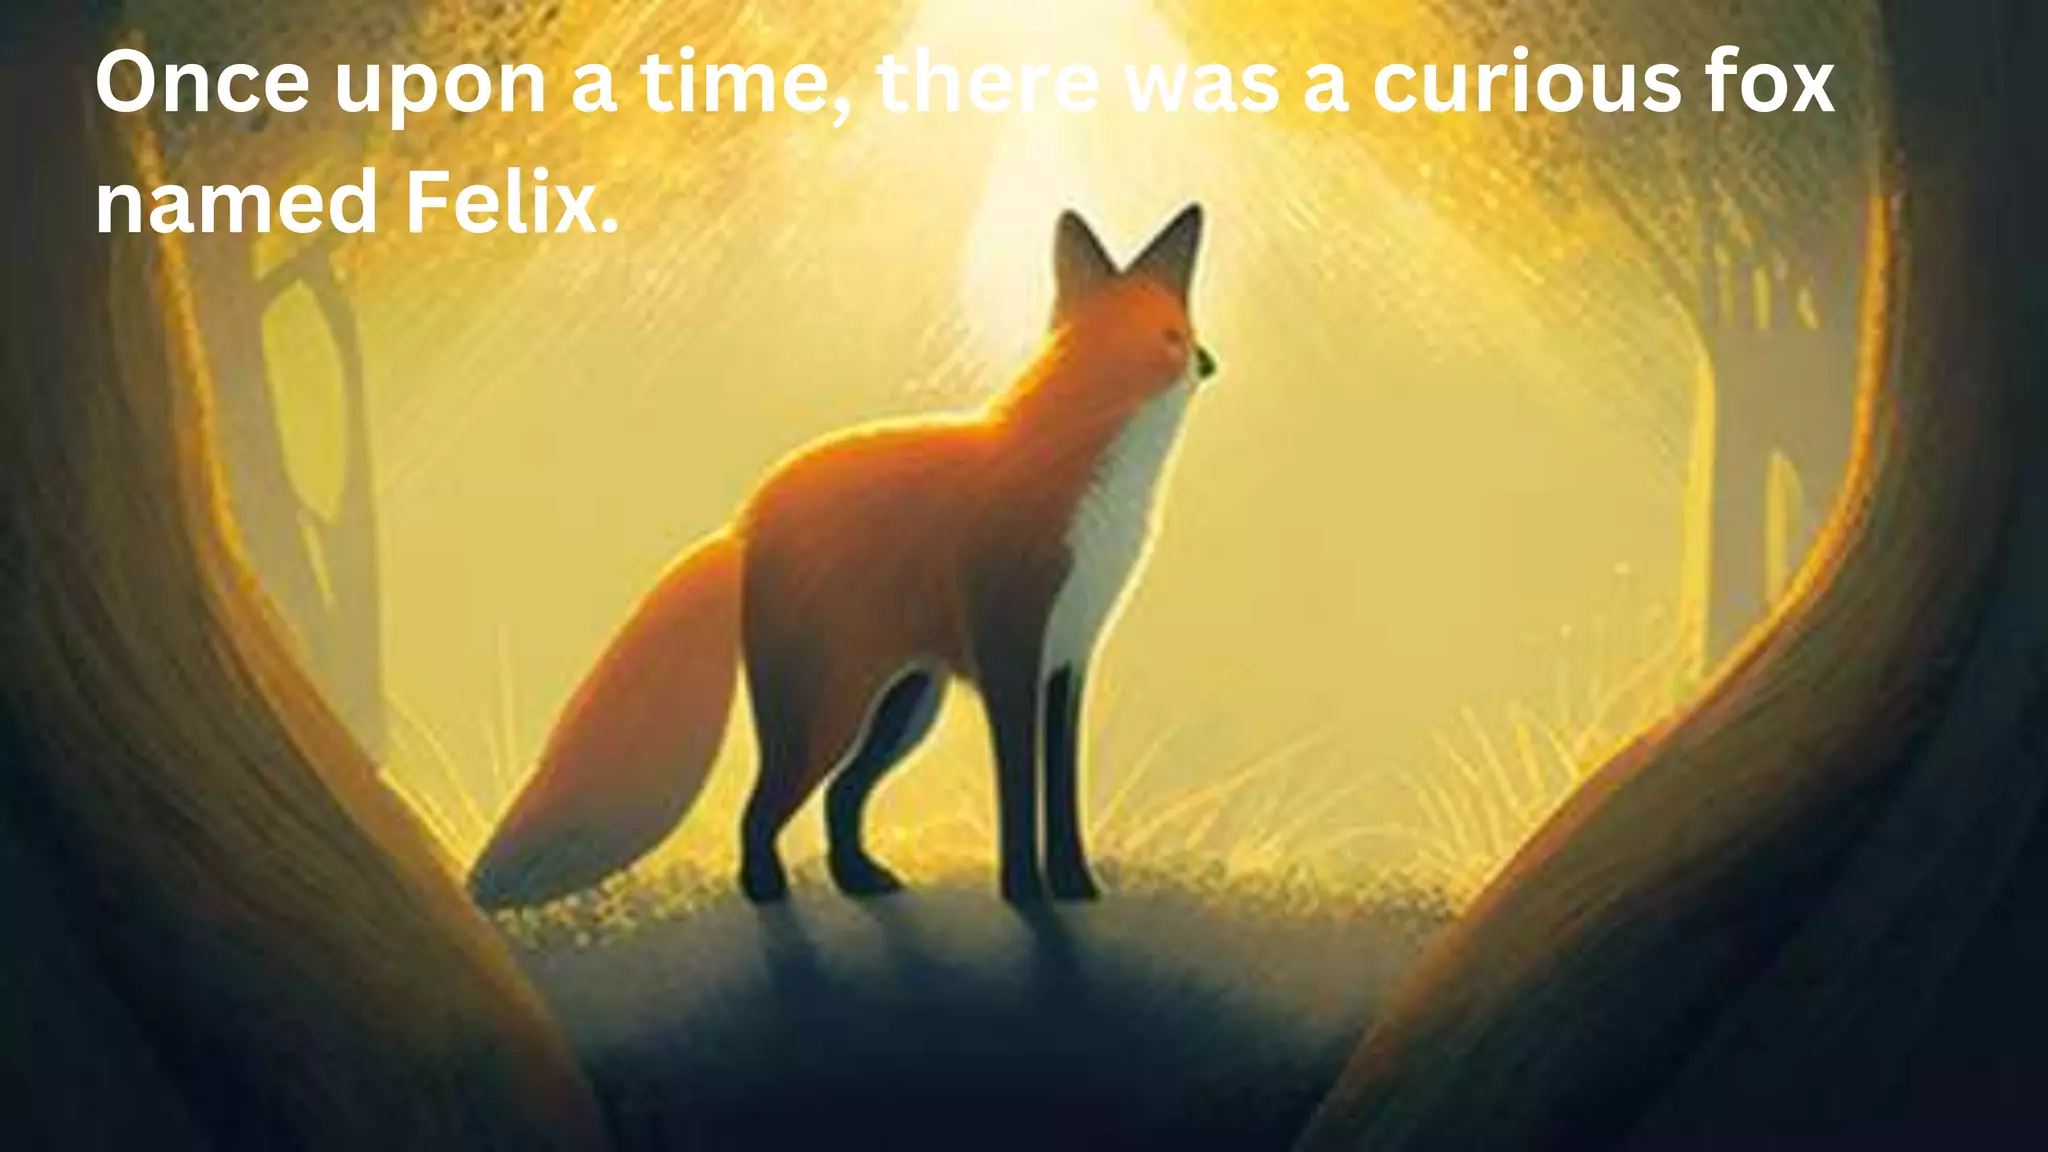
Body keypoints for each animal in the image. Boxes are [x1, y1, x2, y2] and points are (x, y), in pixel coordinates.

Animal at [467, 204, 1217, 908]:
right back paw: (767, 891)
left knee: (841, 797)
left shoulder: (1068, 663)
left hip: (903, 708)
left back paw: (860, 878)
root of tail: (747, 518)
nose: (1209, 363)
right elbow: (1020, 793)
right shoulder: (1012, 660)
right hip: (828, 714)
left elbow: (1060, 795)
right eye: (1175, 336)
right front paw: (1026, 894)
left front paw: (1075, 885)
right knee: (763, 809)